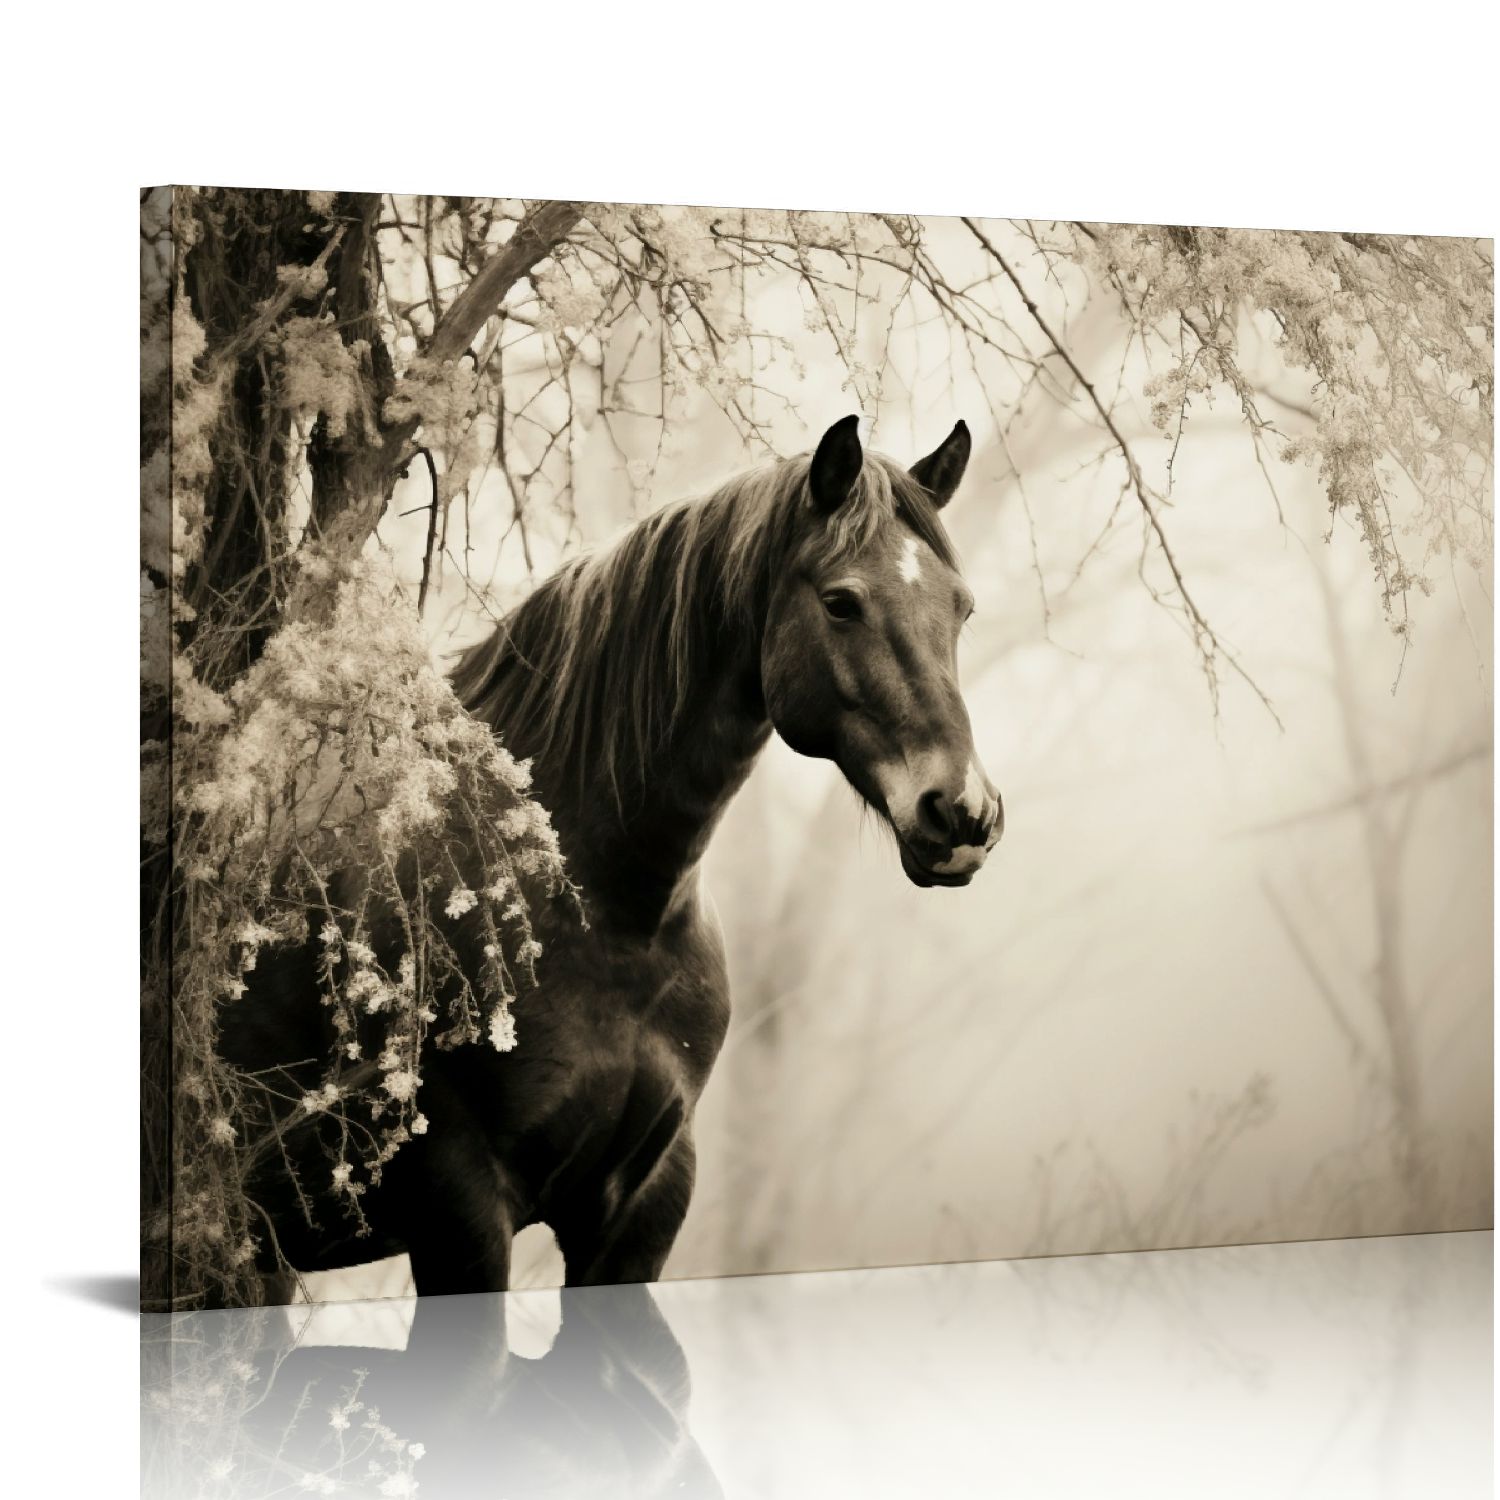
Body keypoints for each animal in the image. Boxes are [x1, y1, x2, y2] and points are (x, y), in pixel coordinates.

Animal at [219, 414, 1003, 1301]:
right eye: (841, 603)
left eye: (962, 608)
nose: (964, 812)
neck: (612, 913)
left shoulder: (645, 1203)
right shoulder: (461, 1208)